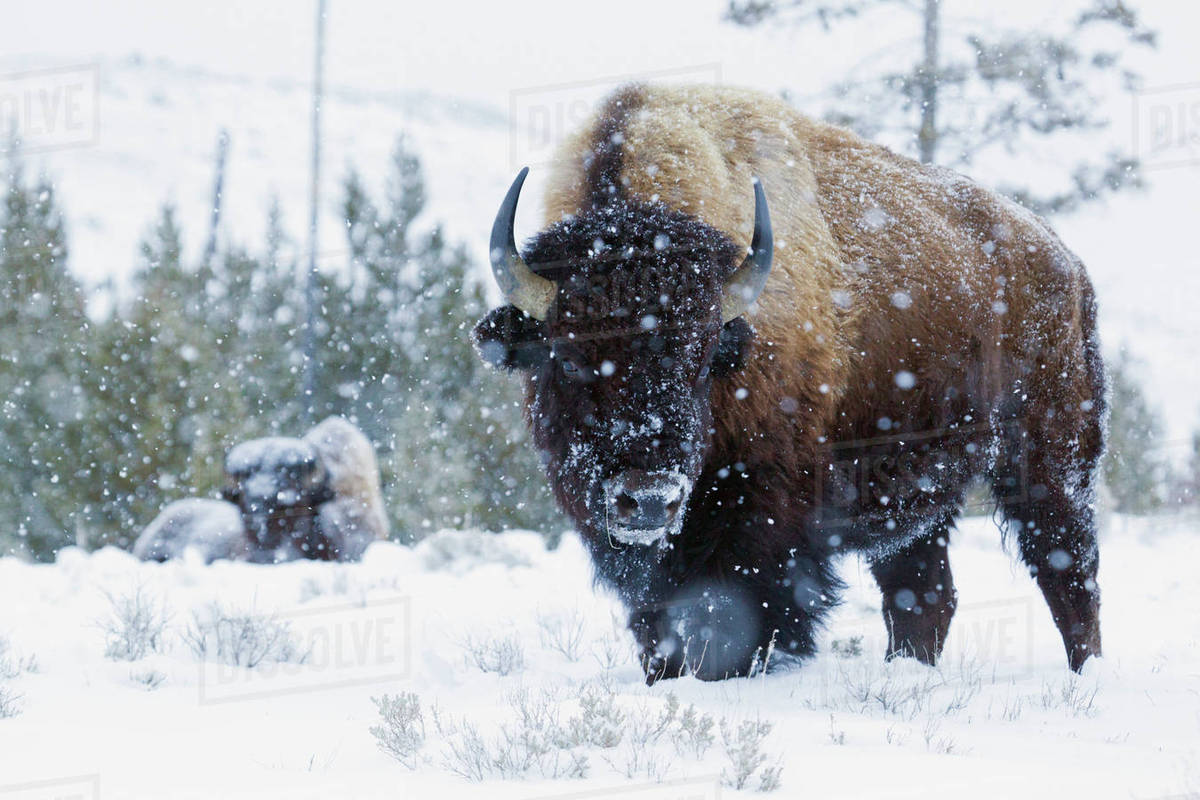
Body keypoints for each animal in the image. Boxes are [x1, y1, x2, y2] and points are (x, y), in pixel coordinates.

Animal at [473, 84, 1105, 683]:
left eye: (704, 359)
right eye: (568, 358)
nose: (649, 498)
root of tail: (1066, 261)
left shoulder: (761, 520)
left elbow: (736, 618)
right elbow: (659, 629)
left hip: (1049, 459)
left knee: (1068, 571)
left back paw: (1085, 678)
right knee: (923, 594)